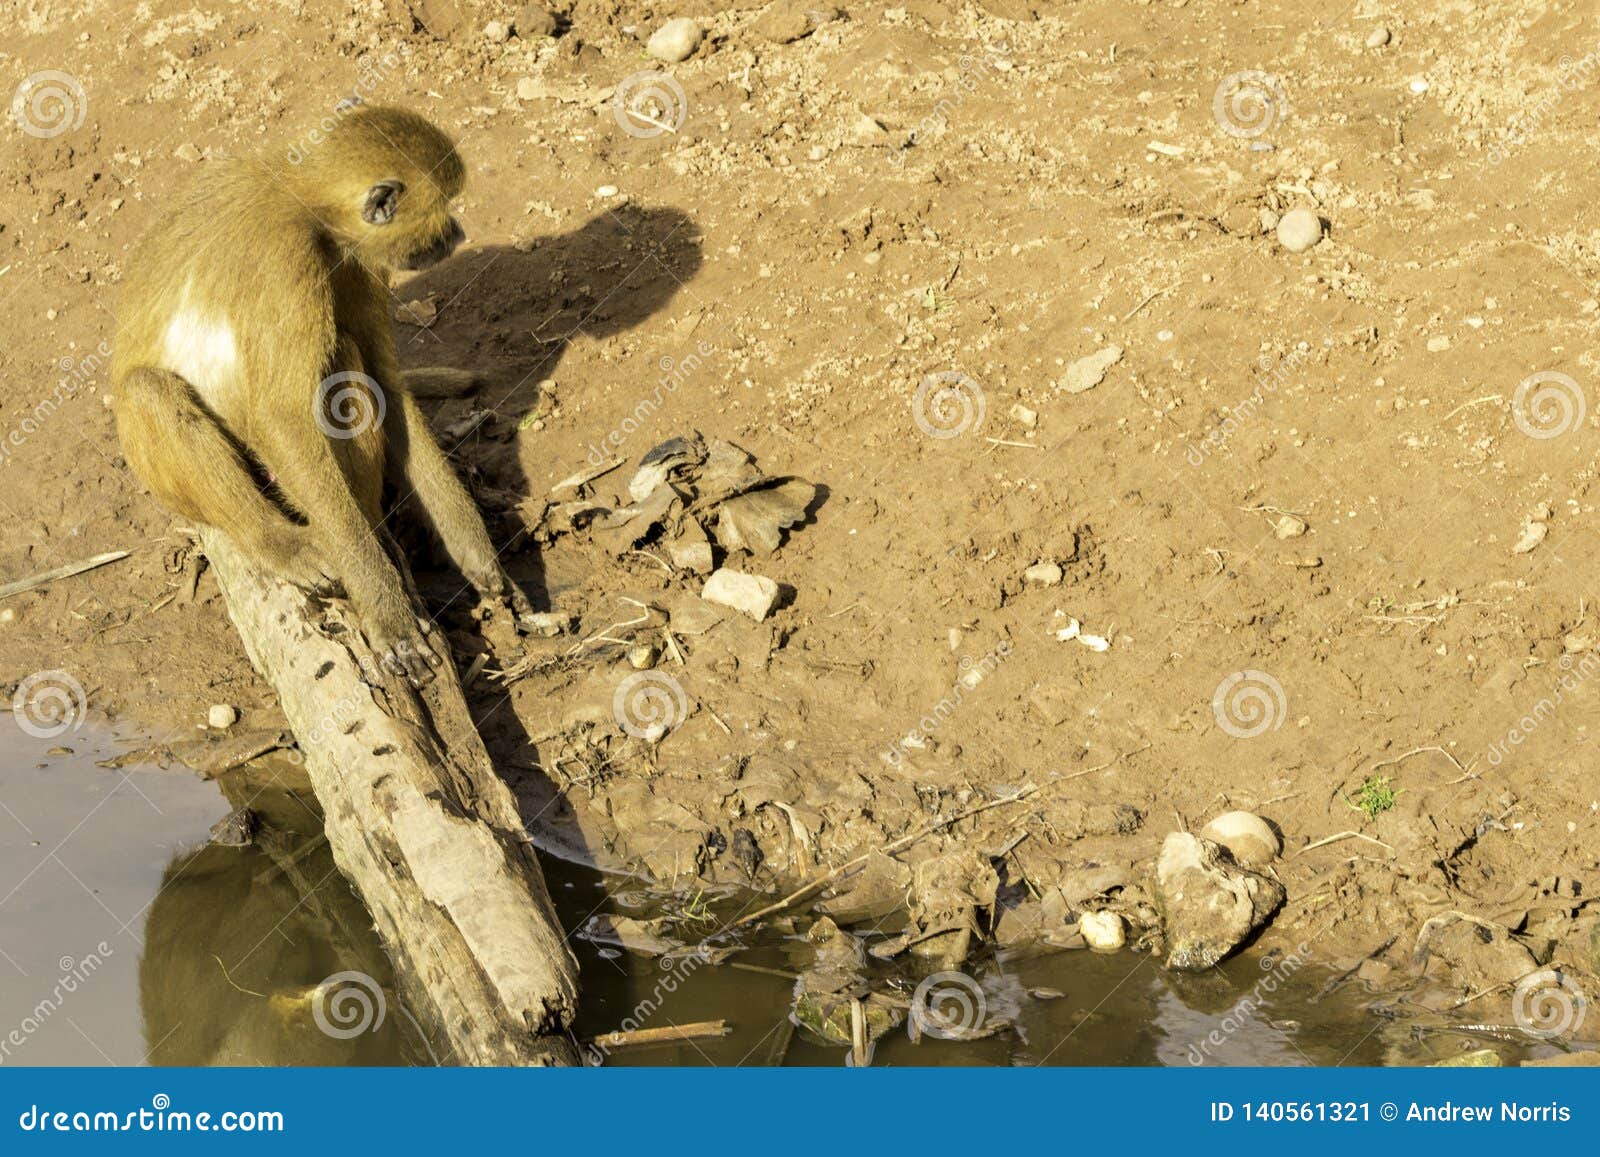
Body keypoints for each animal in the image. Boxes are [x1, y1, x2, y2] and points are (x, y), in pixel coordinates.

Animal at [112, 105, 535, 683]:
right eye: (445, 206)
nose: (458, 230)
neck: (298, 196)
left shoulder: (351, 256)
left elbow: (382, 376)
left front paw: (480, 559)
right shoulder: (287, 262)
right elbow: (283, 416)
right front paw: (389, 618)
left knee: (346, 356)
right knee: (147, 391)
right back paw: (283, 544)